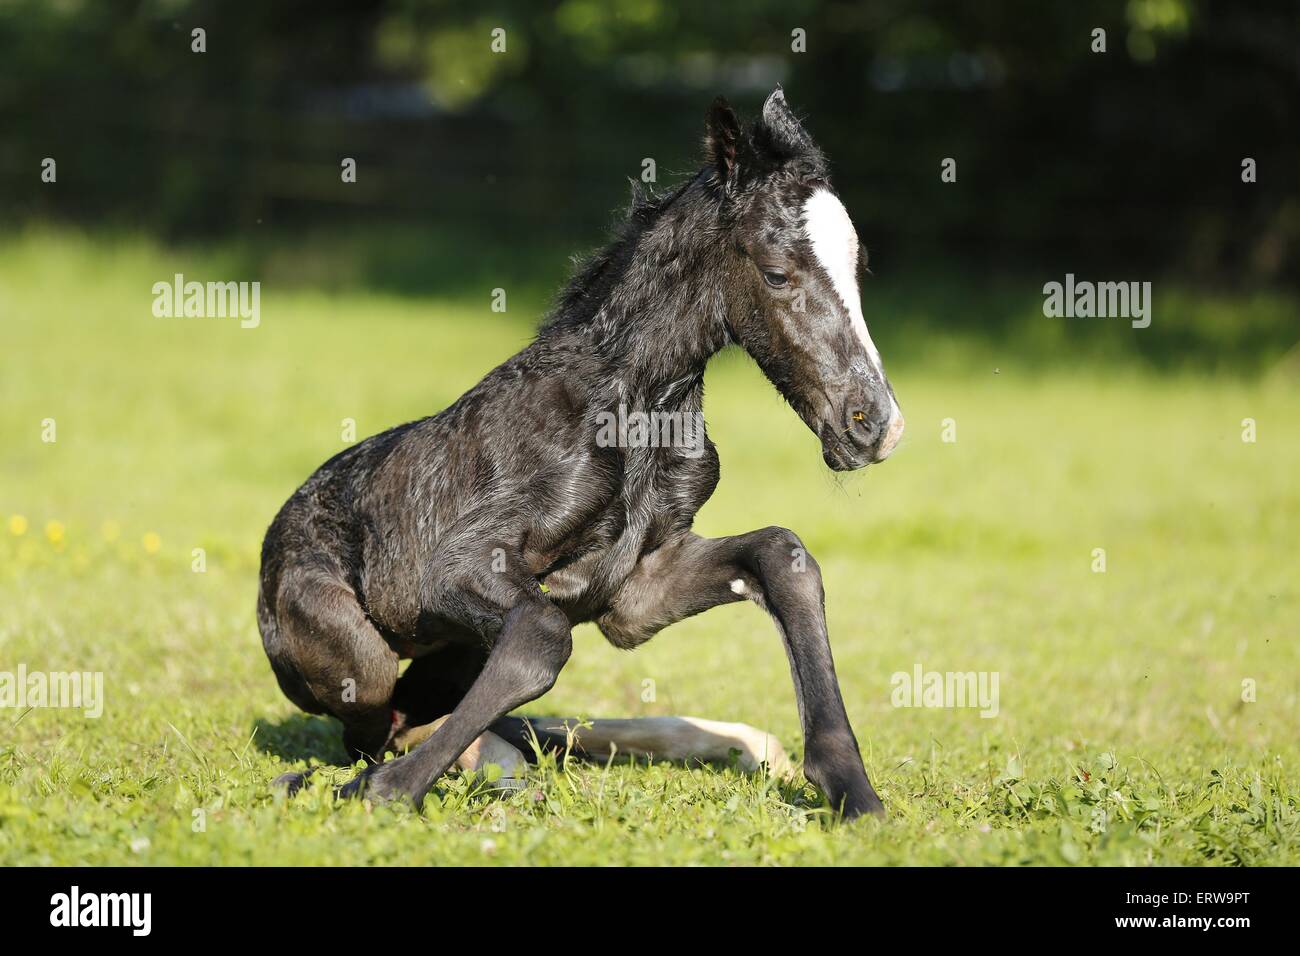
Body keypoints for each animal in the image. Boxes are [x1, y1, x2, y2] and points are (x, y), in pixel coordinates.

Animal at [258, 88, 904, 818]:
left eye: (859, 268)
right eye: (776, 273)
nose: (875, 424)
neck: (633, 412)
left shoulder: (635, 591)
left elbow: (784, 554)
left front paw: (849, 786)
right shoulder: (455, 565)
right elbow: (542, 637)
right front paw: (388, 790)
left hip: (450, 661)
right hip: (359, 660)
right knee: (378, 721)